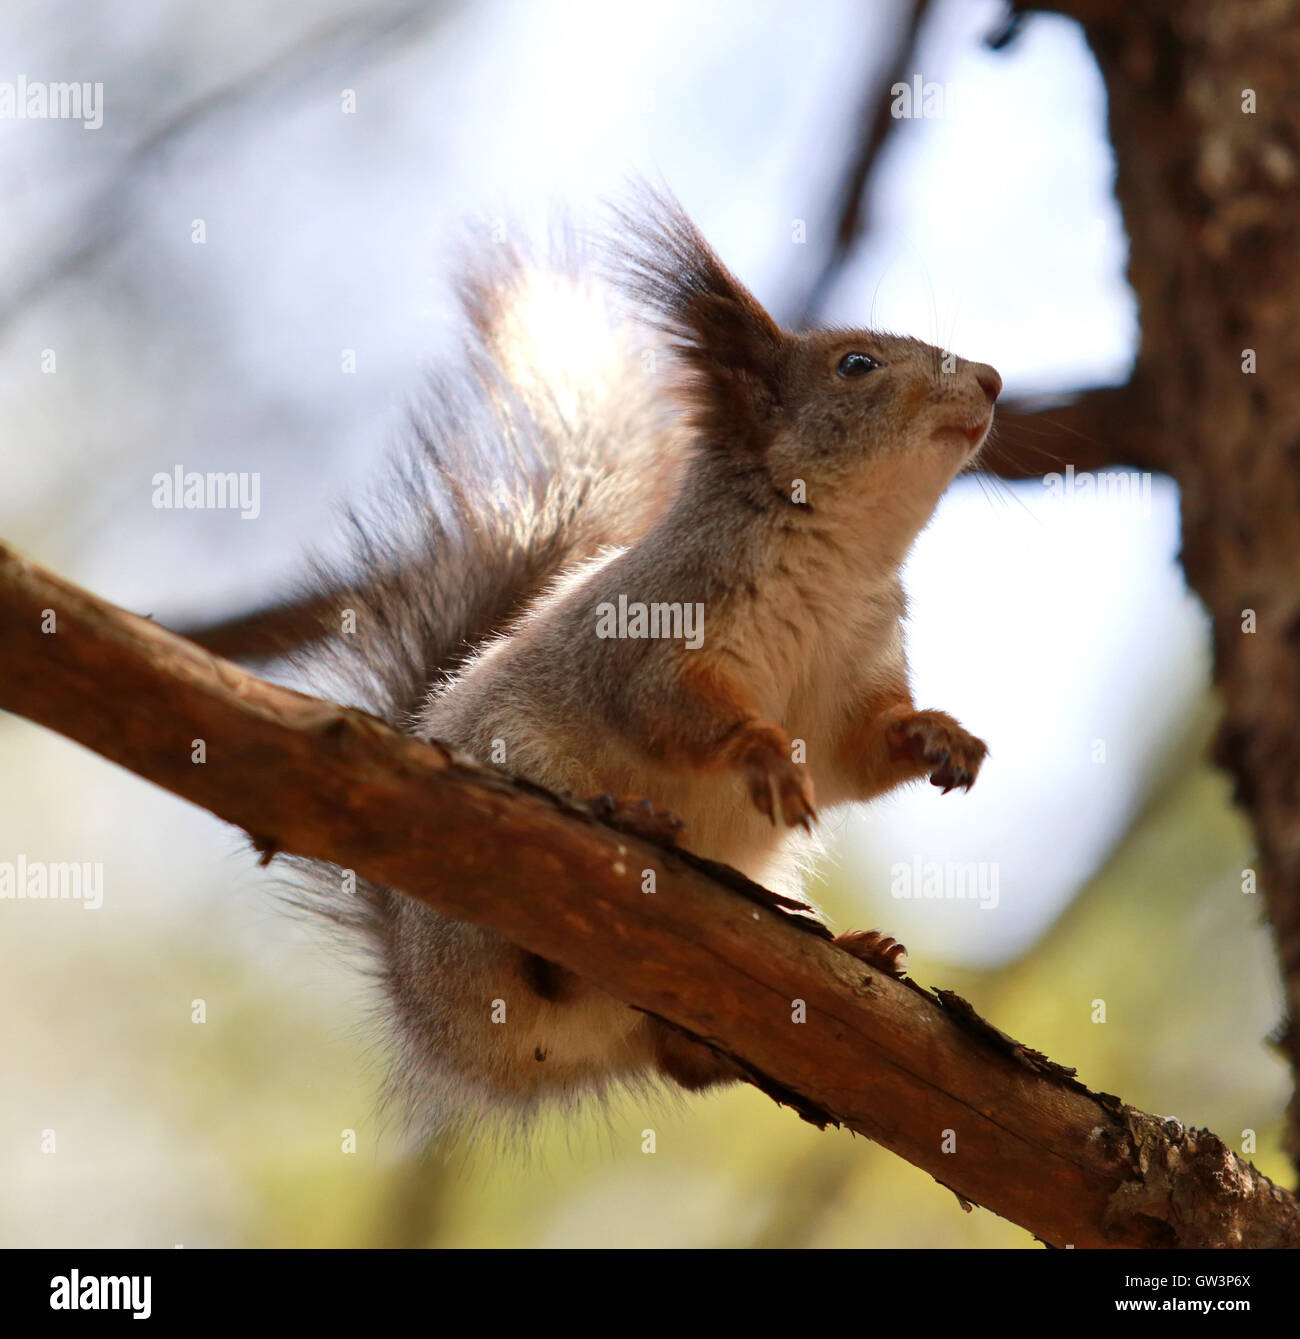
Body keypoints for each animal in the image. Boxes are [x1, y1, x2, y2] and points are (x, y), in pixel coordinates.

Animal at [288, 186, 999, 1134]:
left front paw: (939, 734)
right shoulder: (658, 627)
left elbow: (858, 751)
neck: (844, 557)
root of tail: (419, 1001)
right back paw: (626, 828)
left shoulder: (855, 671)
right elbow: (669, 706)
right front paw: (761, 753)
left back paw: (855, 949)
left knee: (682, 1061)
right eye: (857, 364)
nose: (992, 380)